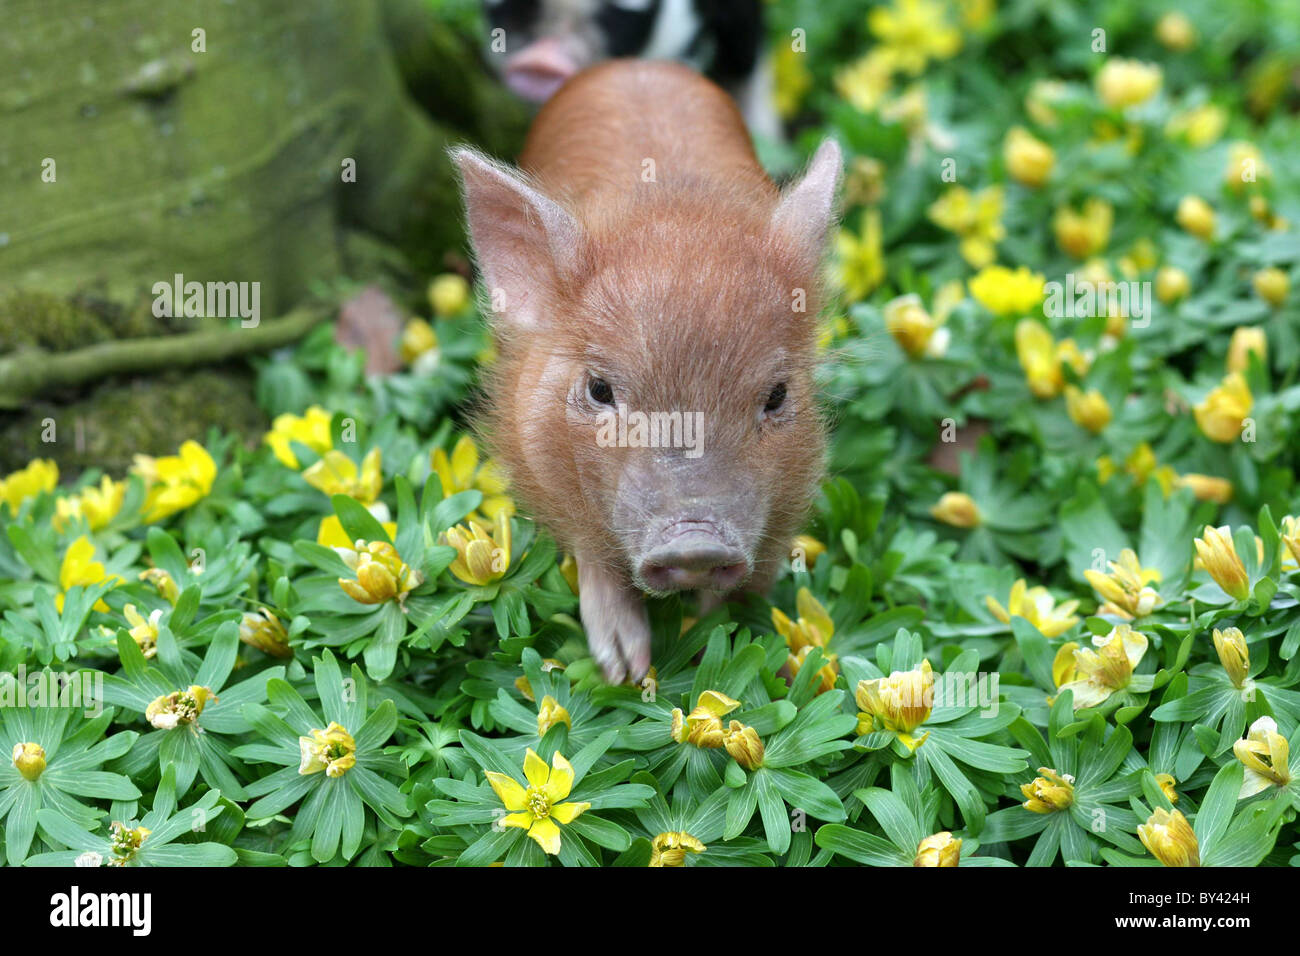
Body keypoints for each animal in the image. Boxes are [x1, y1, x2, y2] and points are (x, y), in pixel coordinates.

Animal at [453, 59, 839, 682]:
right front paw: (626, 673)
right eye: (599, 389)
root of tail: (639, 64)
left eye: (777, 395)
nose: (696, 543)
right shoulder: (535, 452)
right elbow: (590, 553)